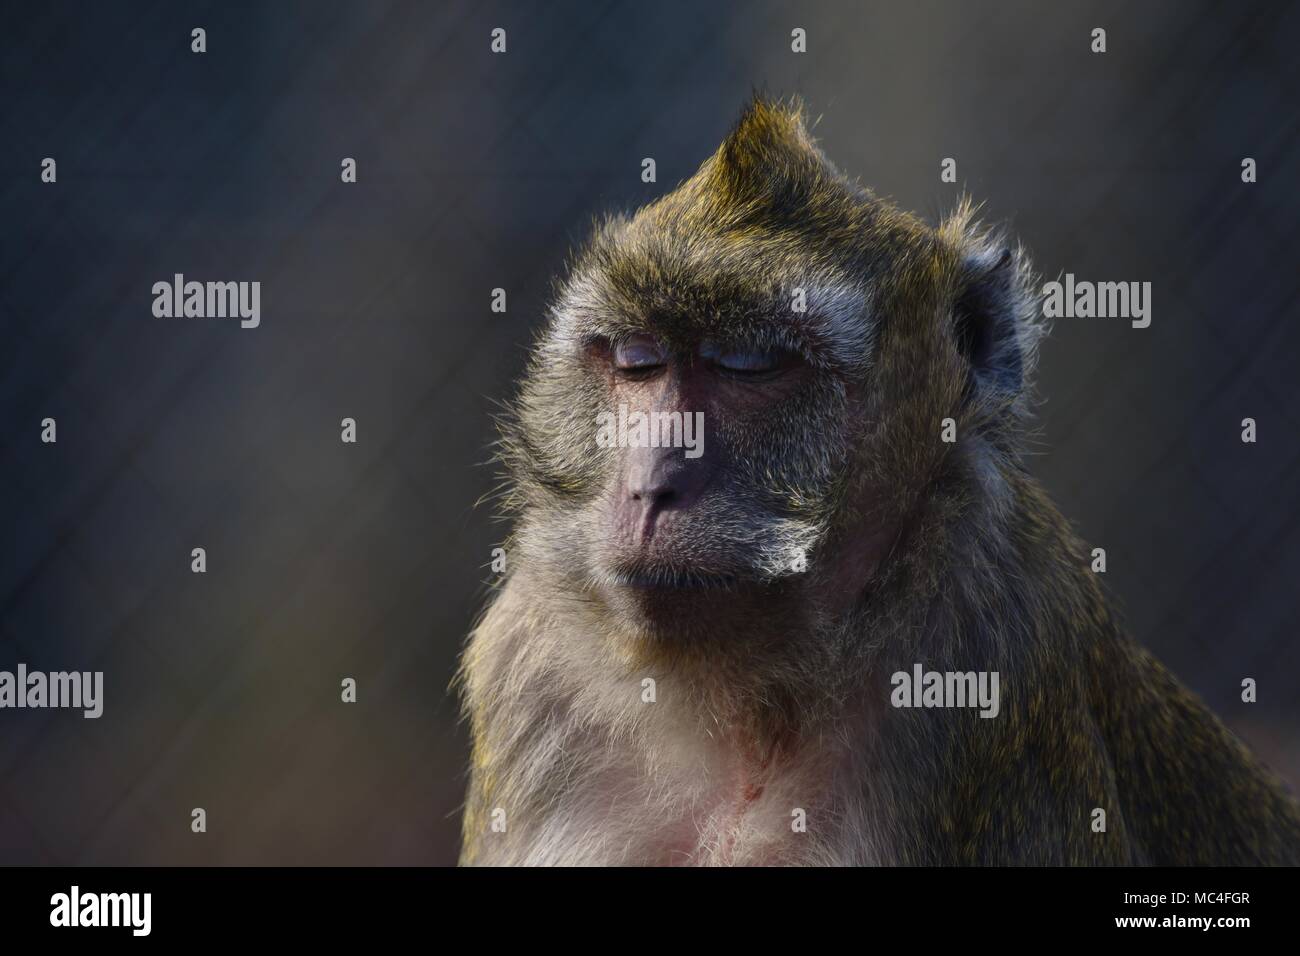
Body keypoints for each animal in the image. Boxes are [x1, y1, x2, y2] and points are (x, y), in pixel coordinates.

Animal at [456, 96, 1300, 866]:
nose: (652, 487)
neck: (755, 705)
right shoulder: (530, 669)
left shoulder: (992, 645)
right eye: (637, 360)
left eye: (748, 365)